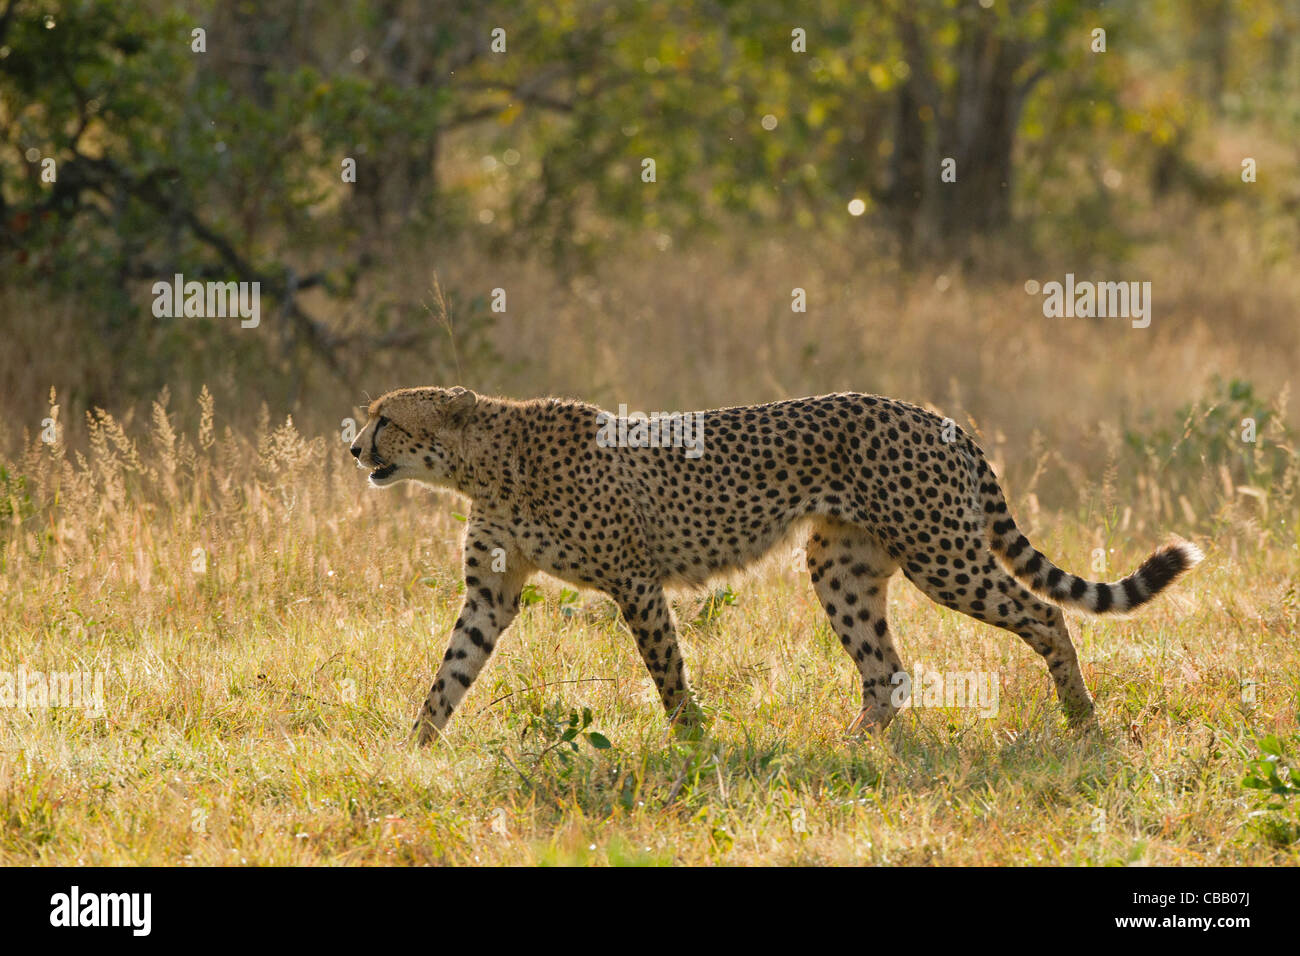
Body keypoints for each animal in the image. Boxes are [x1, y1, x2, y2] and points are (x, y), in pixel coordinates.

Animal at [349, 386, 1202, 745]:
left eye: (386, 419)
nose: (353, 448)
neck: (484, 461)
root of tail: (937, 416)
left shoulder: (634, 581)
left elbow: (667, 669)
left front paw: (693, 743)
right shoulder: (491, 593)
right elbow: (449, 672)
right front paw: (412, 749)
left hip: (942, 555)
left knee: (1045, 613)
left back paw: (1083, 721)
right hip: (840, 565)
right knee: (888, 670)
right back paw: (851, 748)